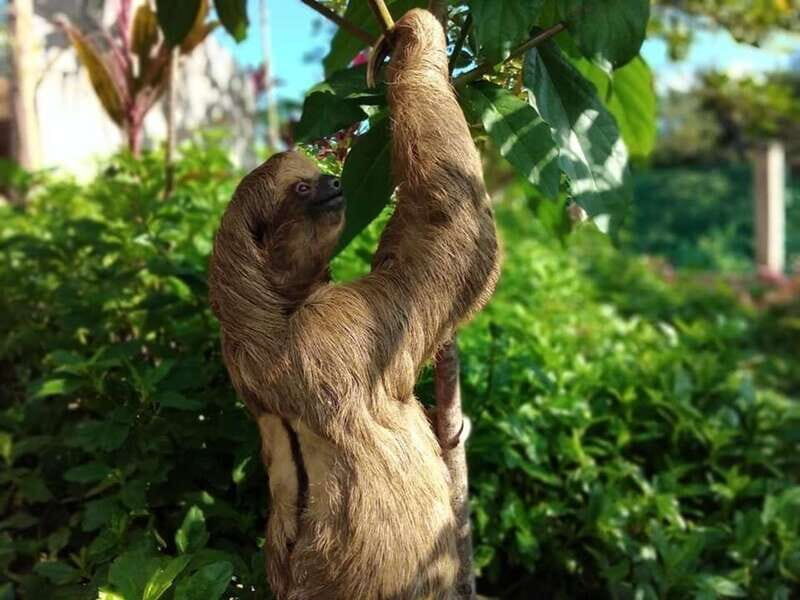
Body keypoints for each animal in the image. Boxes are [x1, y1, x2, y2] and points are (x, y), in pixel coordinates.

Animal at [208, 9, 499, 600]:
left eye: (318, 174)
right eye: (301, 189)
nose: (332, 181)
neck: (275, 308)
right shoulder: (344, 326)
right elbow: (451, 227)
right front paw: (412, 34)